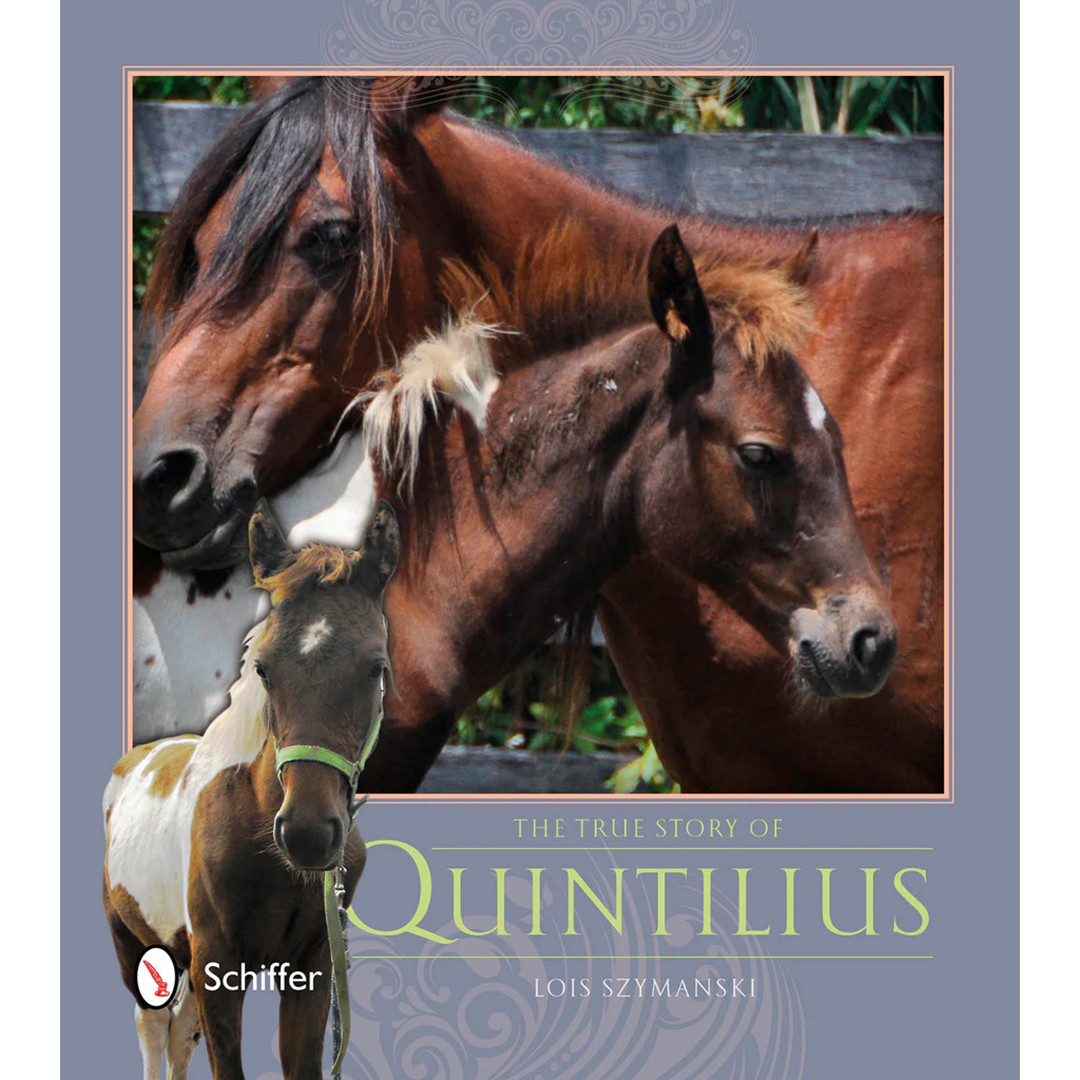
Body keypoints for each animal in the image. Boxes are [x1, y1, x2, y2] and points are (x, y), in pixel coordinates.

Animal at [105, 500, 400, 1079]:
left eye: (376, 668)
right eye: (263, 668)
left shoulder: (313, 970)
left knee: (179, 1036)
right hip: (132, 943)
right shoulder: (217, 967)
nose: (307, 834)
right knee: (152, 1029)